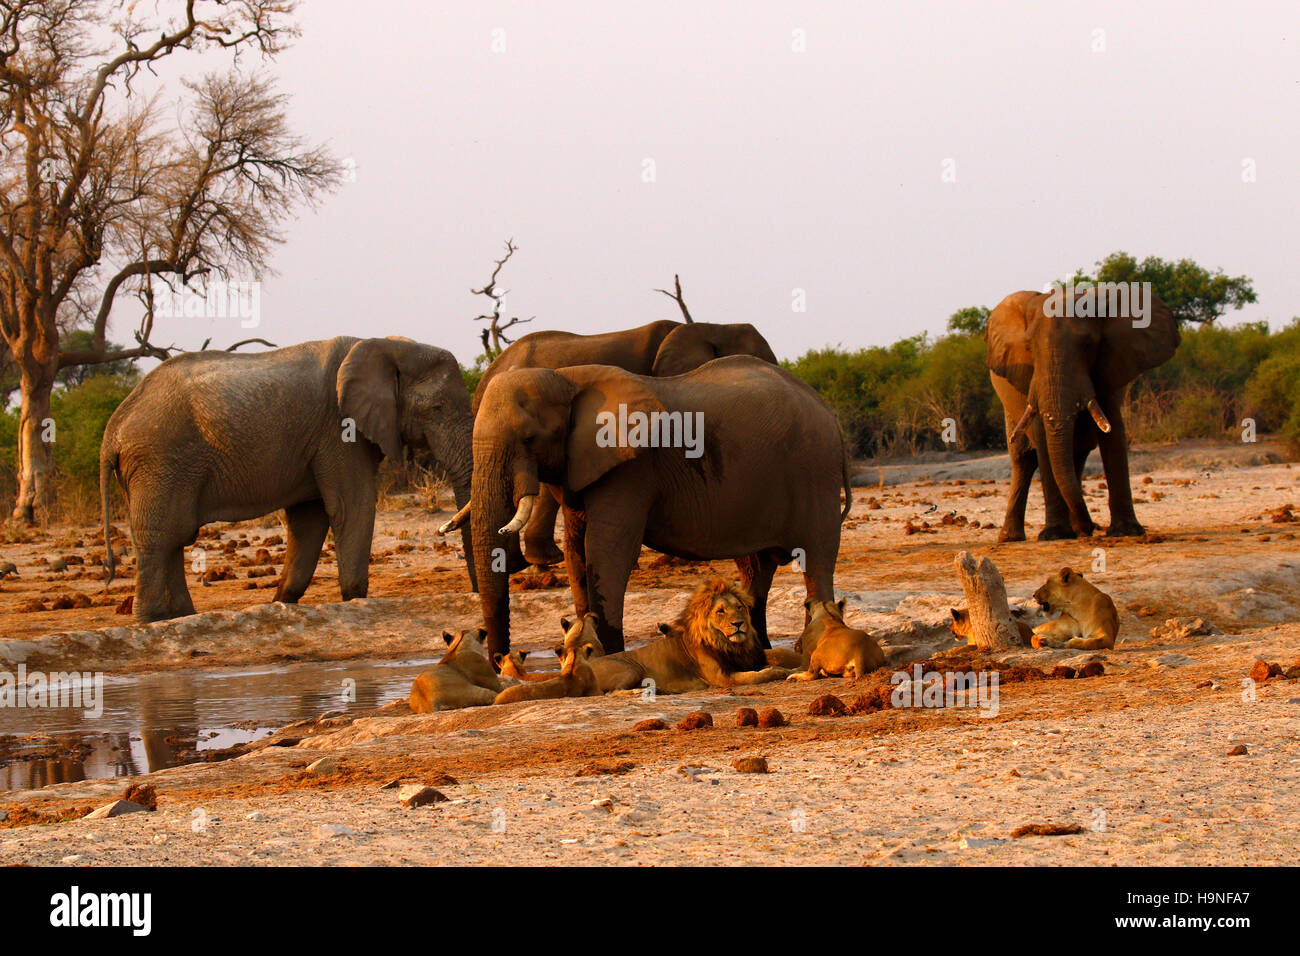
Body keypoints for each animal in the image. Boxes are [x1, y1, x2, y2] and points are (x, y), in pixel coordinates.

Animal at [588, 578, 791, 694]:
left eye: (739, 607)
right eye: (720, 611)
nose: (738, 623)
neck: (727, 644)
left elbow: (761, 668)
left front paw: (785, 670)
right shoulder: (722, 678)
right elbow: (755, 677)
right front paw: (778, 672)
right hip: (632, 669)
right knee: (613, 692)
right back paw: (642, 691)